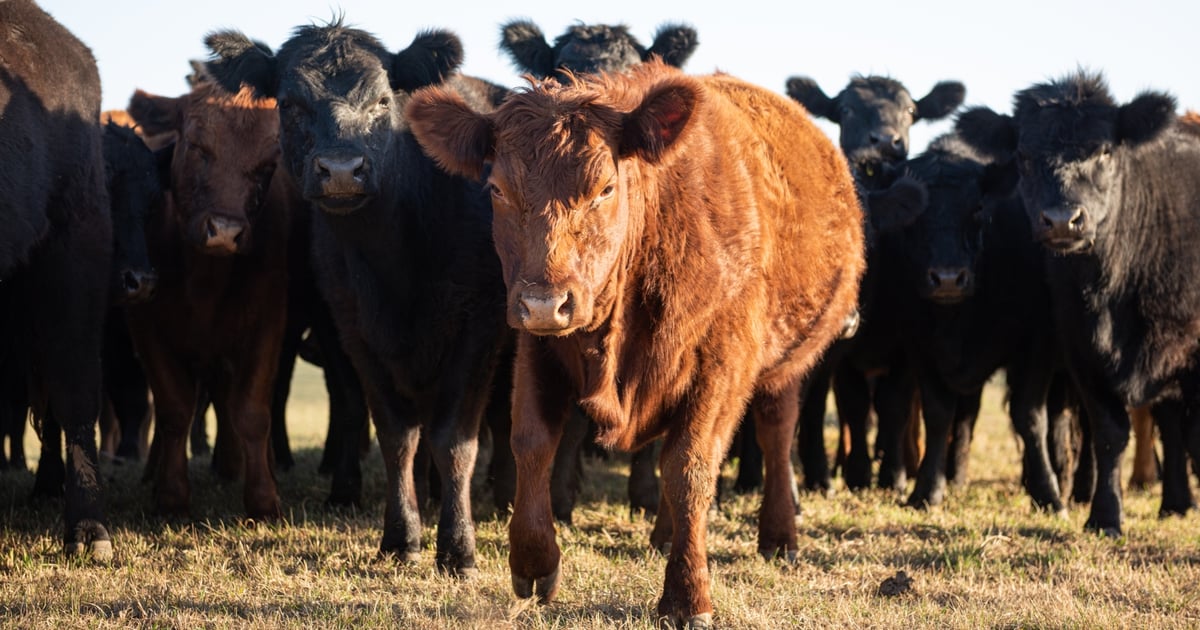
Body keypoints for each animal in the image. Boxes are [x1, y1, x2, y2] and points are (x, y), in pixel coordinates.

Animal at [123, 81, 290, 520]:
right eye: (198, 145)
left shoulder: (267, 325)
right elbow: (174, 409)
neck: (204, 281)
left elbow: (251, 410)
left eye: (269, 162)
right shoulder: (148, 329)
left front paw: (263, 498)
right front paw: (170, 496)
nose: (225, 231)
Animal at [203, 21, 512, 574]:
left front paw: (458, 548)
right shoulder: (354, 331)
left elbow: (454, 441)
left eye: (384, 100)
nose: (343, 170)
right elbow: (396, 436)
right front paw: (401, 537)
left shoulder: (478, 328)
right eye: (289, 103)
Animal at [407, 60, 865, 625]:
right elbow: (533, 443)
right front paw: (535, 562)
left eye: (604, 188)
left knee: (775, 431)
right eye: (496, 188)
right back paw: (665, 534)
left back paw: (779, 537)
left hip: (783, 365)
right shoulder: (538, 350)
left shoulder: (721, 364)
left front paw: (688, 596)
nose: (545, 302)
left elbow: (690, 467)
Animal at [956, 70, 1200, 535]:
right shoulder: (1081, 347)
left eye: (1105, 150)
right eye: (1023, 155)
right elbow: (1109, 432)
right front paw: (1104, 516)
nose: (1061, 220)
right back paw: (1175, 502)